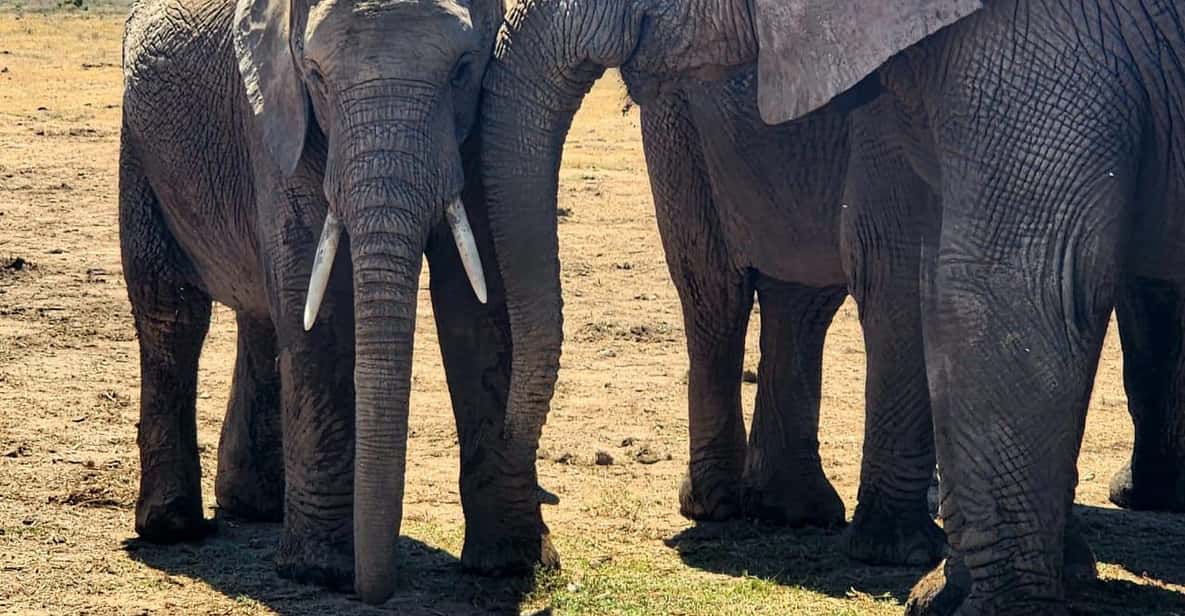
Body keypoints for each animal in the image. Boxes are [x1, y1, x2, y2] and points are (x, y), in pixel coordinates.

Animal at [120, 0, 556, 603]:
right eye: (317, 78)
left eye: (463, 70)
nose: (376, 591)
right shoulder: (278, 119)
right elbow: (317, 306)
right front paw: (320, 571)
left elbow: (476, 297)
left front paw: (511, 565)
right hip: (138, 147)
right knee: (171, 313)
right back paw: (173, 528)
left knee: (260, 315)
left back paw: (254, 508)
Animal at [479, 0, 1185, 613]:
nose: (539, 495)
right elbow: (908, 270)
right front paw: (904, 557)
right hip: (678, 122)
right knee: (714, 291)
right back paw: (720, 506)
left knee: (799, 299)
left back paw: (792, 511)